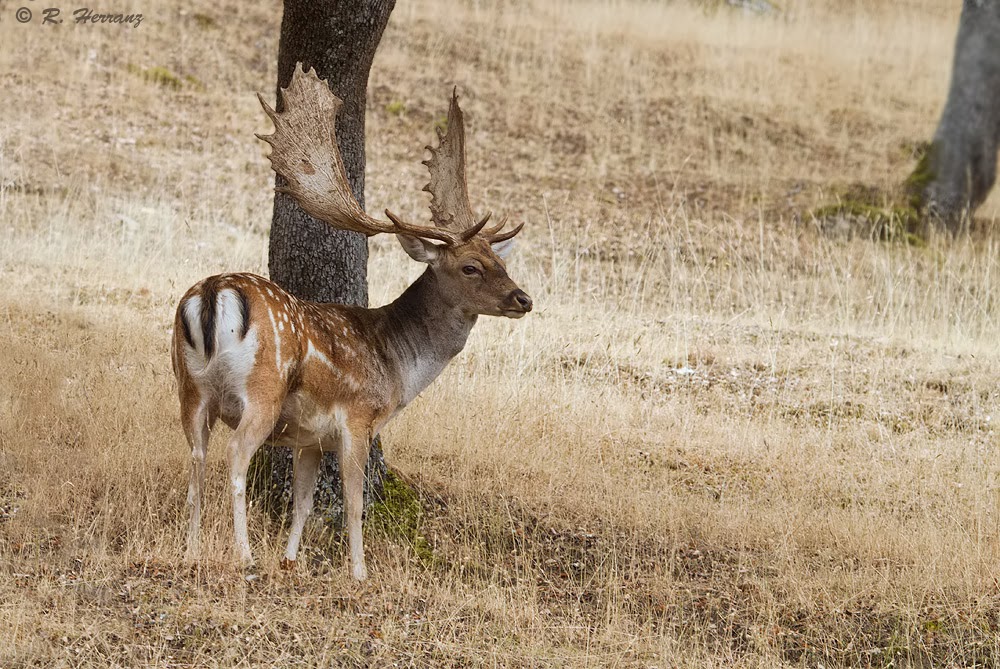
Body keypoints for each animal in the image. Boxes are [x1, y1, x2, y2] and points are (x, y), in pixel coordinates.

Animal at [170, 64, 532, 581]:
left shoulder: (309, 437)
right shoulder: (358, 418)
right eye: (471, 267)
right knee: (234, 456)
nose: (523, 299)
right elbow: (354, 502)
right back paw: (245, 557)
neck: (397, 366)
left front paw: (290, 560)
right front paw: (359, 572)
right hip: (262, 391)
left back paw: (191, 550)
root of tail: (212, 291)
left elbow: (302, 504)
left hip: (190, 387)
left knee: (196, 457)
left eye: (498, 261)